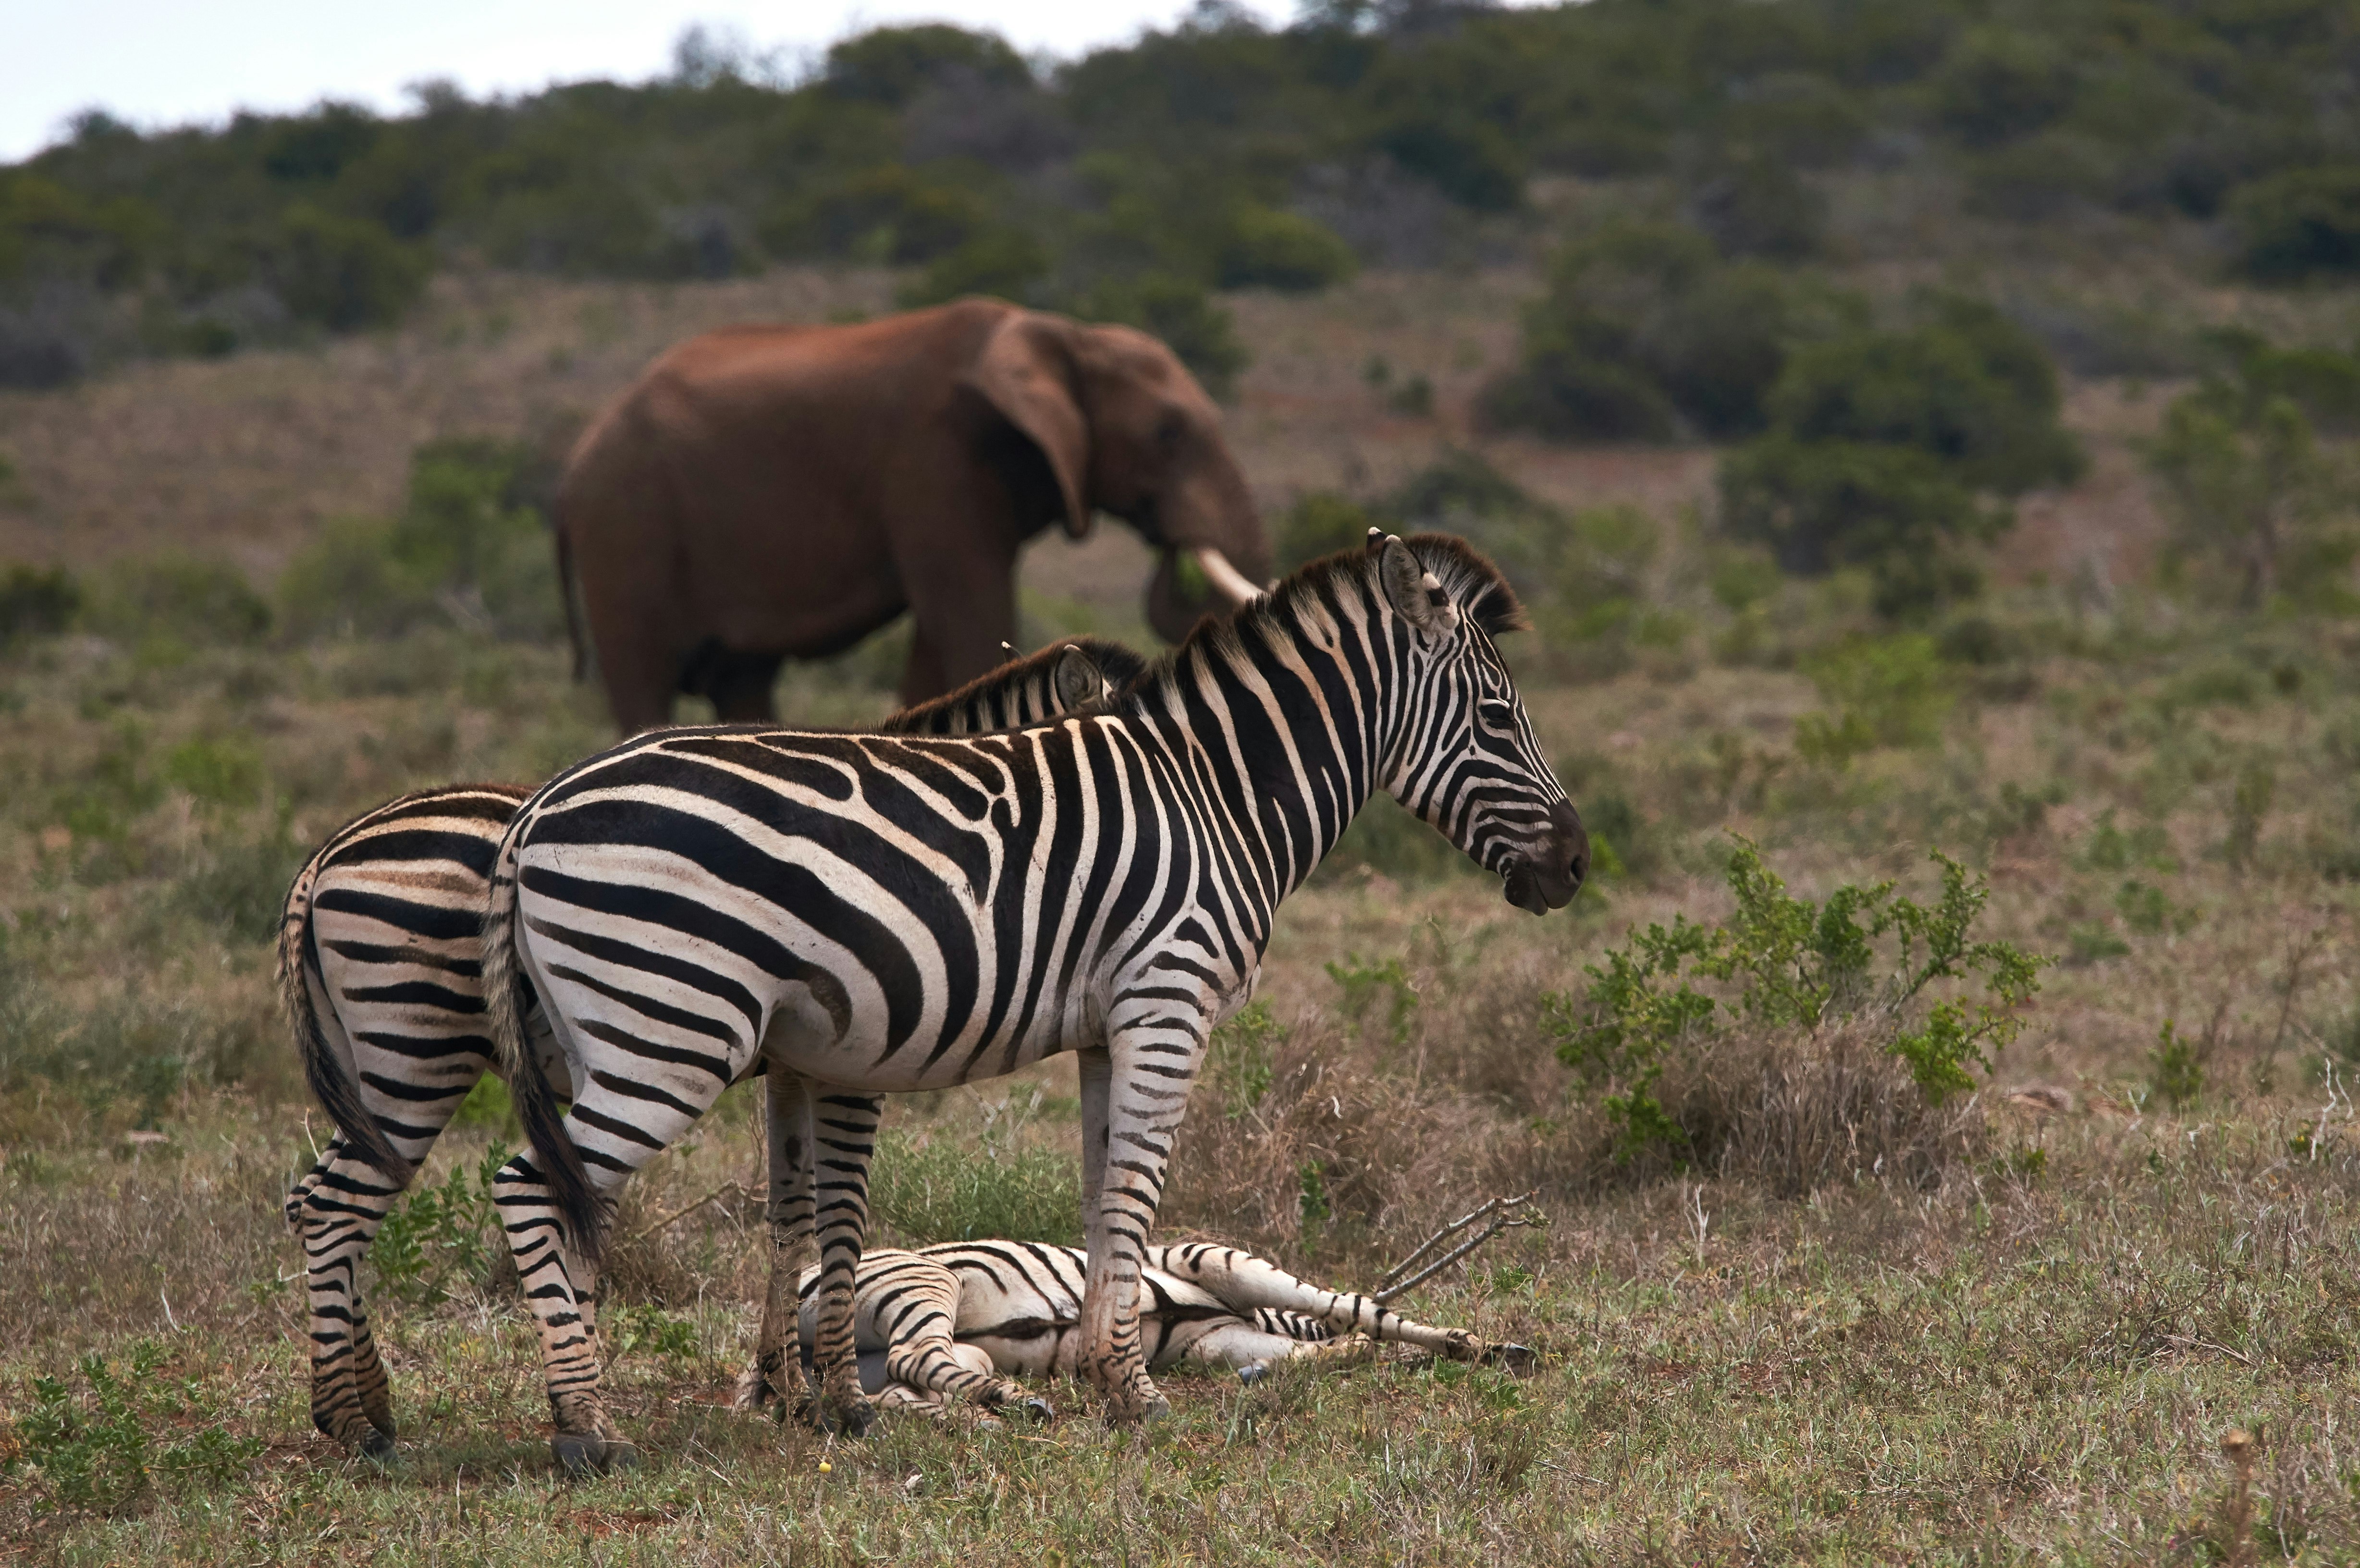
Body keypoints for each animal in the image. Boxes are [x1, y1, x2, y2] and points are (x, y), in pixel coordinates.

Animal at [276, 638, 1141, 1459]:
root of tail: (326, 855)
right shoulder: (849, 1067)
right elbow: (838, 1212)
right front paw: (829, 1398)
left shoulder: (792, 1067)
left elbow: (788, 1212)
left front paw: (782, 1389)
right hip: (422, 1048)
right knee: (340, 1204)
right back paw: (359, 1420)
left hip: (372, 1062)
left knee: (319, 1199)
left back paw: (364, 1400)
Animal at [480, 530, 1587, 1471]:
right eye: (1499, 718)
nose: (1575, 865)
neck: (1216, 795)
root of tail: (538, 805)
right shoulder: (1166, 999)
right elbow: (1133, 1191)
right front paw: (1135, 1392)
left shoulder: (1101, 1029)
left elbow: (1100, 1199)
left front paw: (1102, 1374)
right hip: (668, 1029)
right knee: (531, 1187)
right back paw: (584, 1427)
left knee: (567, 1201)